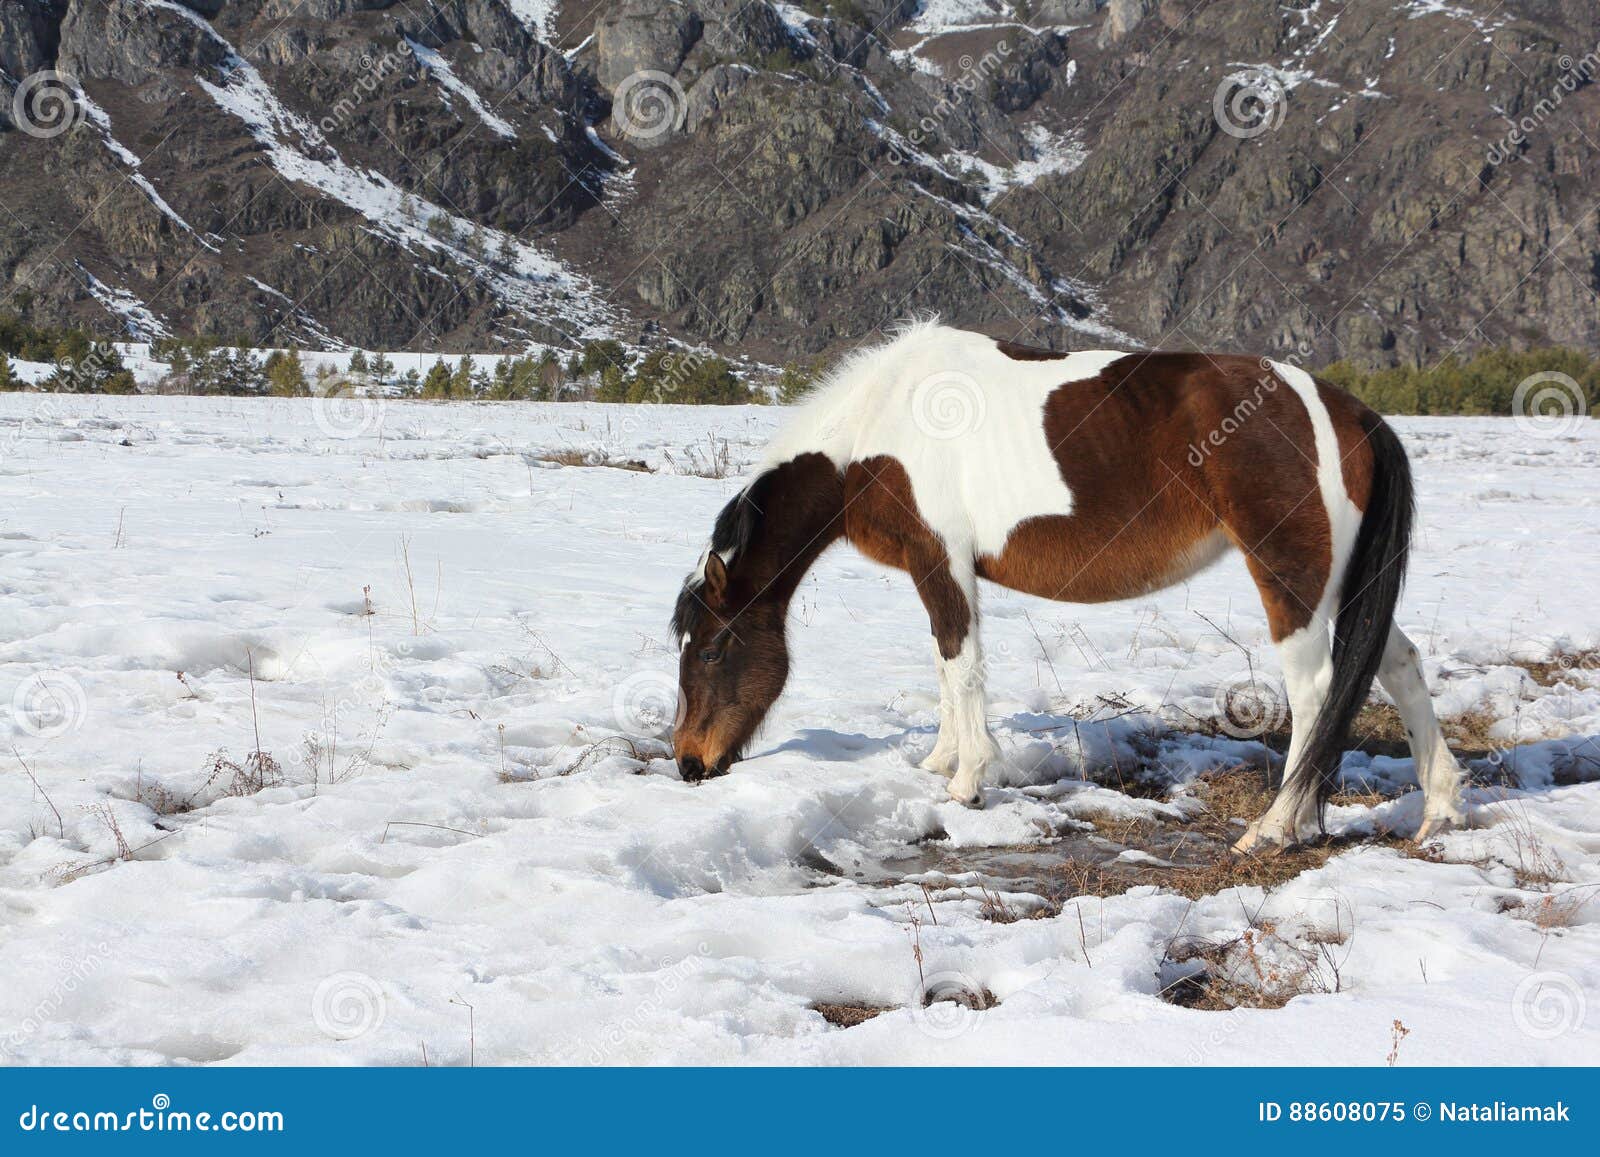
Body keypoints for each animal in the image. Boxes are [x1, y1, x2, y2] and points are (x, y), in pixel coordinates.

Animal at [669, 322, 1466, 851]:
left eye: (709, 650)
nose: (688, 763)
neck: (880, 426)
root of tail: (1352, 412)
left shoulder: (942, 561)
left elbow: (960, 665)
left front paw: (966, 780)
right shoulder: (939, 569)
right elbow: (944, 665)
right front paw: (939, 760)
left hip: (1292, 580)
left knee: (1315, 691)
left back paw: (1274, 827)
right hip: (1344, 585)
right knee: (1399, 664)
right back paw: (1438, 808)